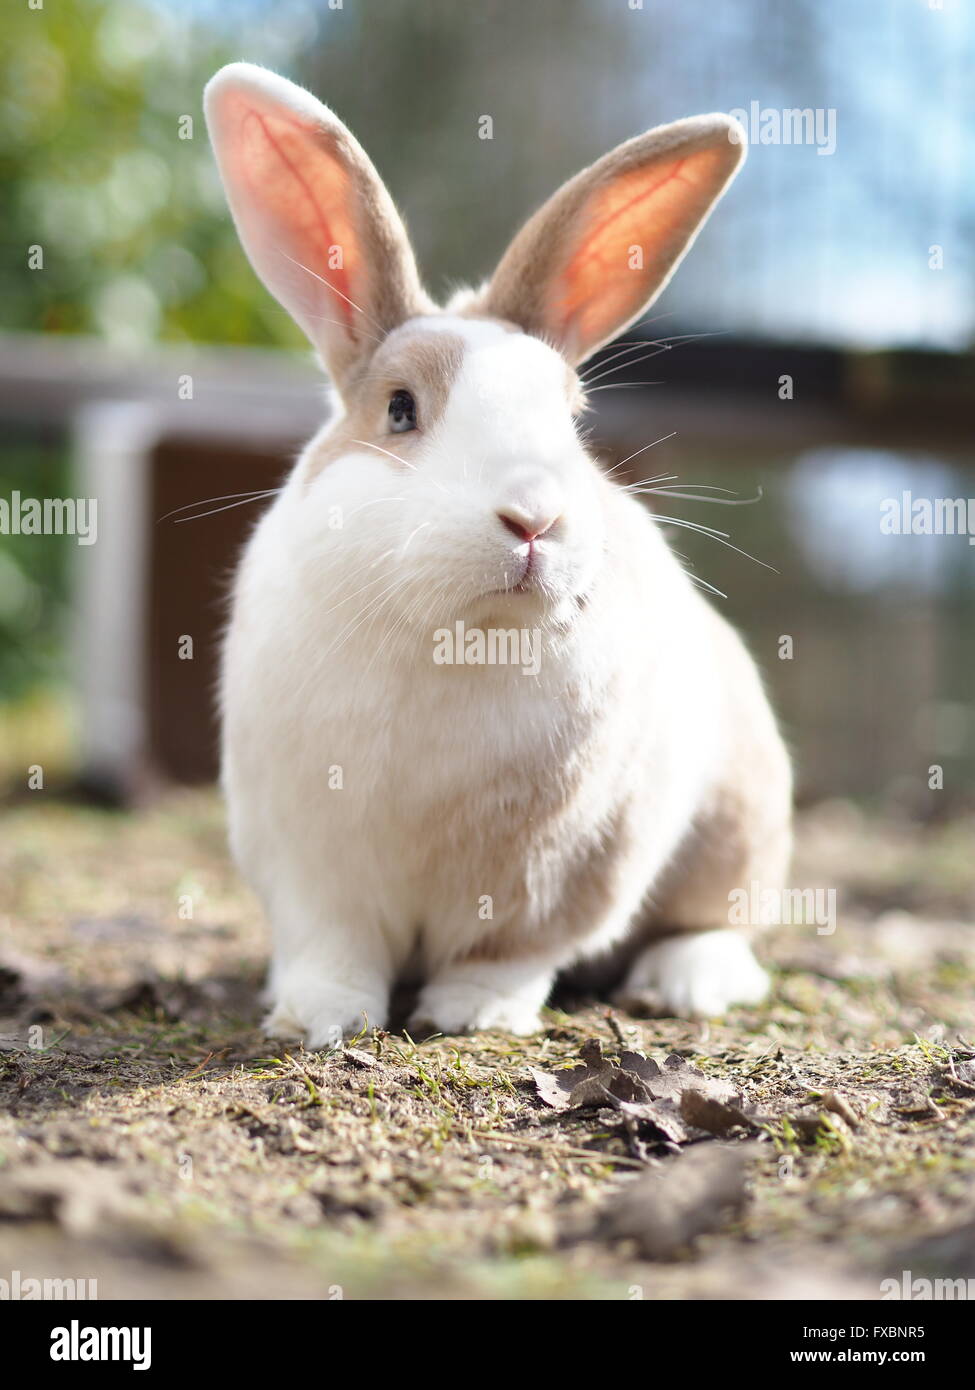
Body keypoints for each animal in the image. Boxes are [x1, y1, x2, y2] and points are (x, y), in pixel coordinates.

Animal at [204, 62, 792, 1045]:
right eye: (399, 409)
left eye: (573, 419)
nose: (532, 520)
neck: (452, 632)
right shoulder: (309, 870)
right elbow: (332, 948)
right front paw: (317, 1015)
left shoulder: (565, 866)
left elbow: (513, 949)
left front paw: (472, 1013)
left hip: (737, 820)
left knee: (716, 919)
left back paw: (685, 981)